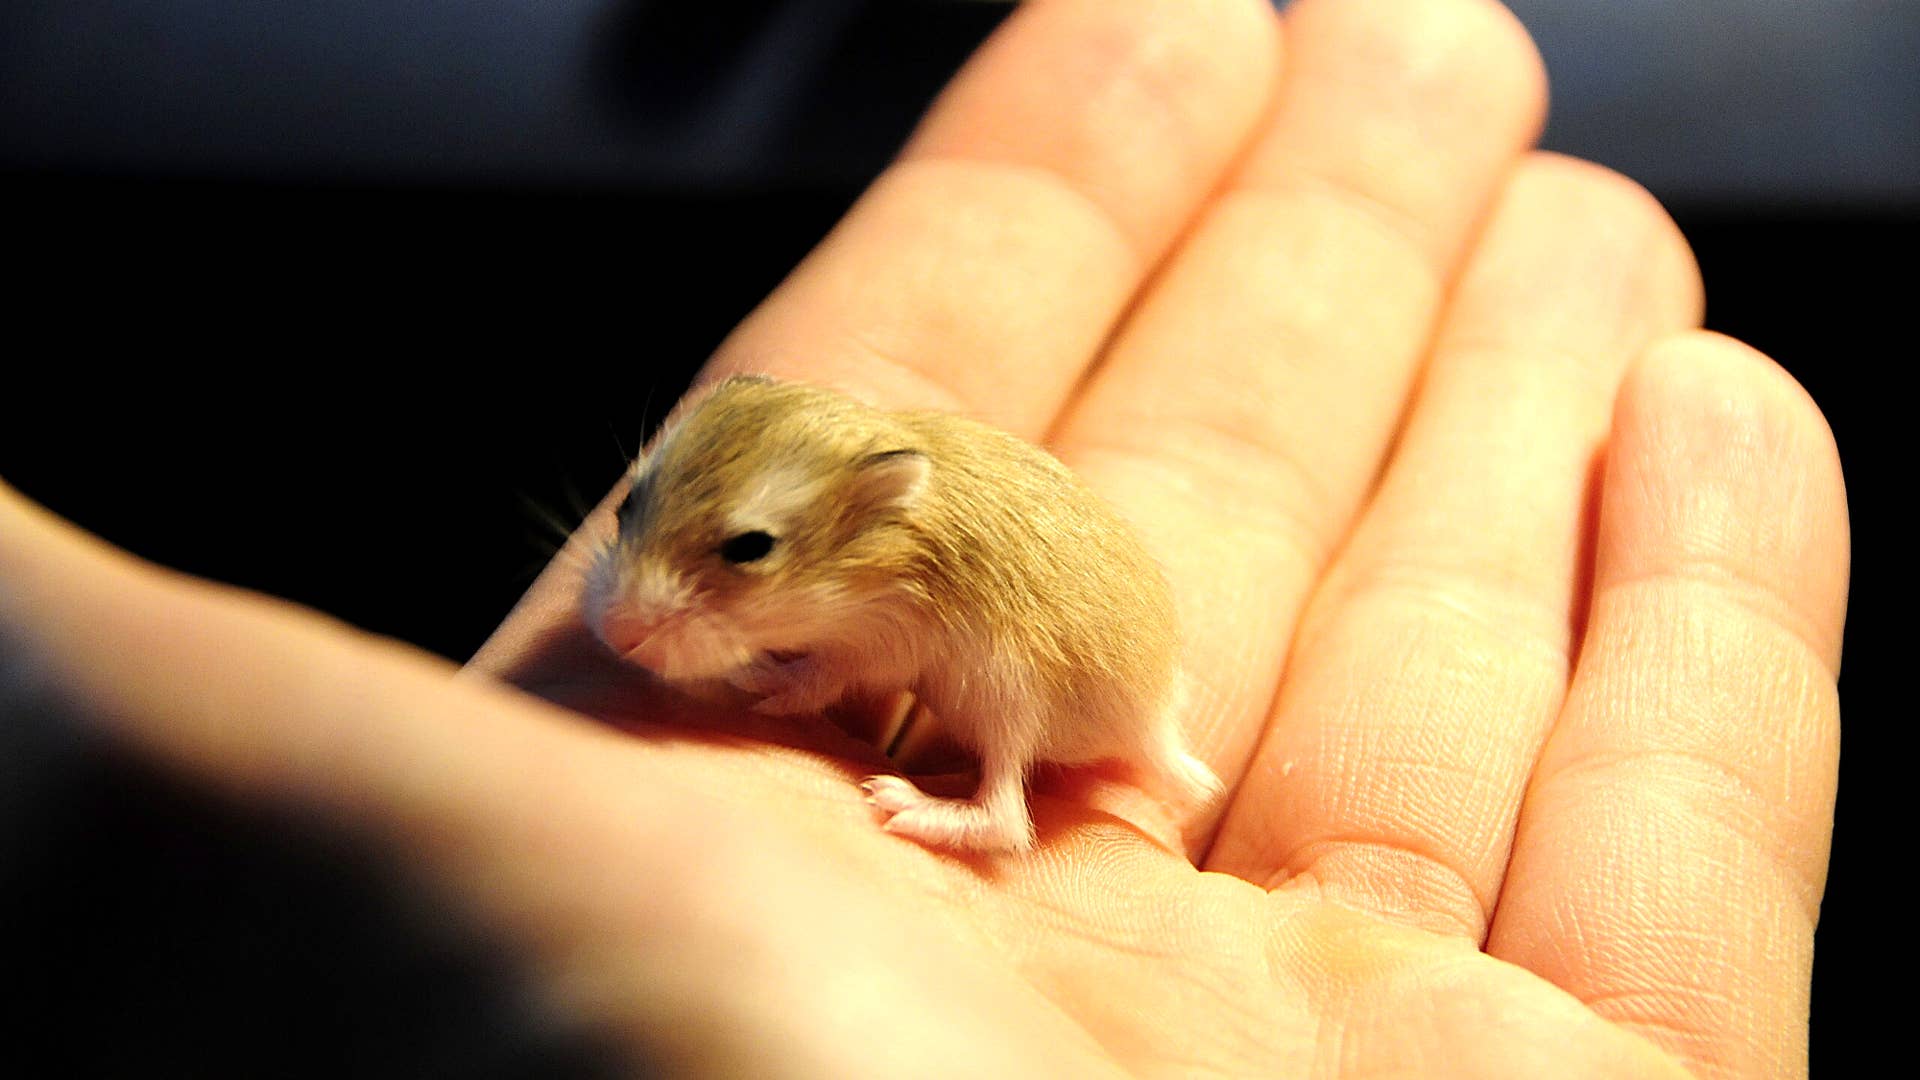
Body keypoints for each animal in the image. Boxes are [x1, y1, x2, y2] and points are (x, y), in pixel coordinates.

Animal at [583, 375, 1219, 852]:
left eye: (751, 547)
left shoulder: (876, 649)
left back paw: (900, 804)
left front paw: (754, 677)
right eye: (627, 503)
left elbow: (810, 681)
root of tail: (1153, 728)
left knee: (1005, 819)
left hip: (1006, 695)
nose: (615, 635)